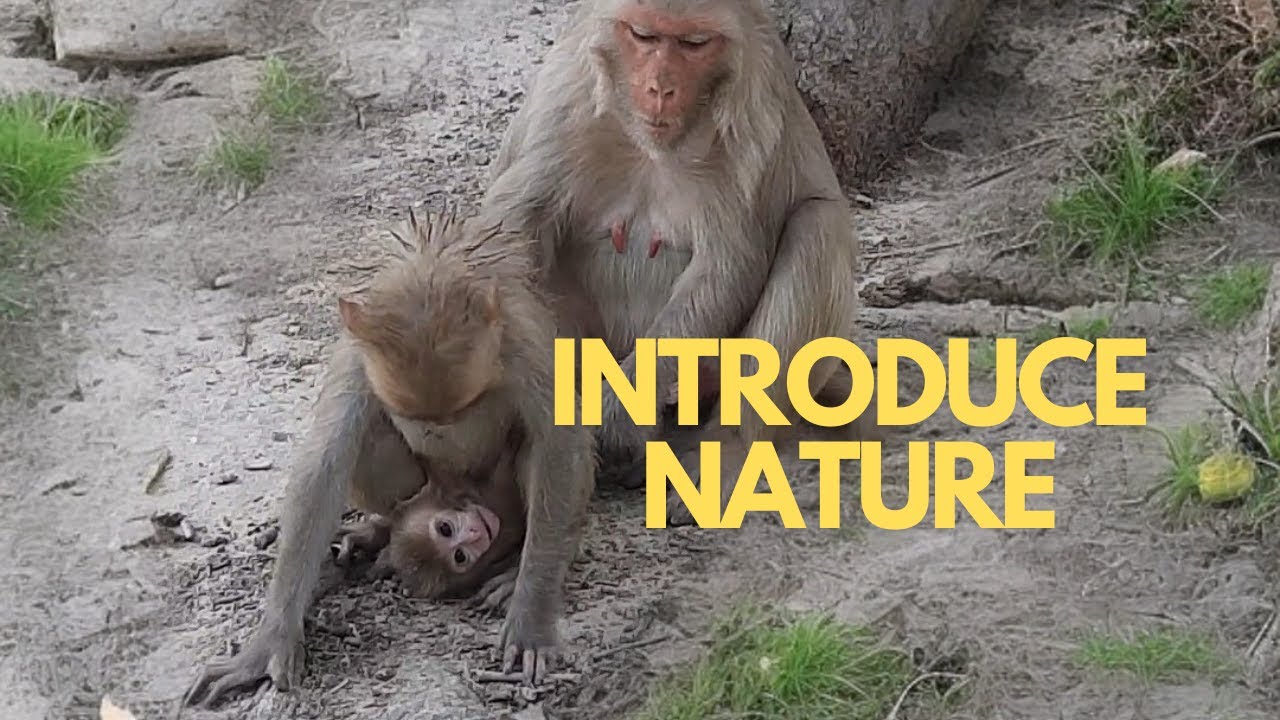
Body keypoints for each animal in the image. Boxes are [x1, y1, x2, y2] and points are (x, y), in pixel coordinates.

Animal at [184, 208, 595, 708]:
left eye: (463, 408)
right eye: (417, 416)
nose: (439, 435)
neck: (431, 260)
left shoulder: (522, 343)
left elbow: (558, 441)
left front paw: (531, 616)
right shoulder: (358, 354)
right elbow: (324, 463)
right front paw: (268, 642)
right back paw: (378, 528)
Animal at [473, 0, 870, 521]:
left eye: (694, 43)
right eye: (643, 35)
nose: (661, 88)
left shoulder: (750, 109)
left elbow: (728, 265)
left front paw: (621, 412)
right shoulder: (565, 98)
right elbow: (513, 232)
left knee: (816, 225)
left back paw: (726, 448)